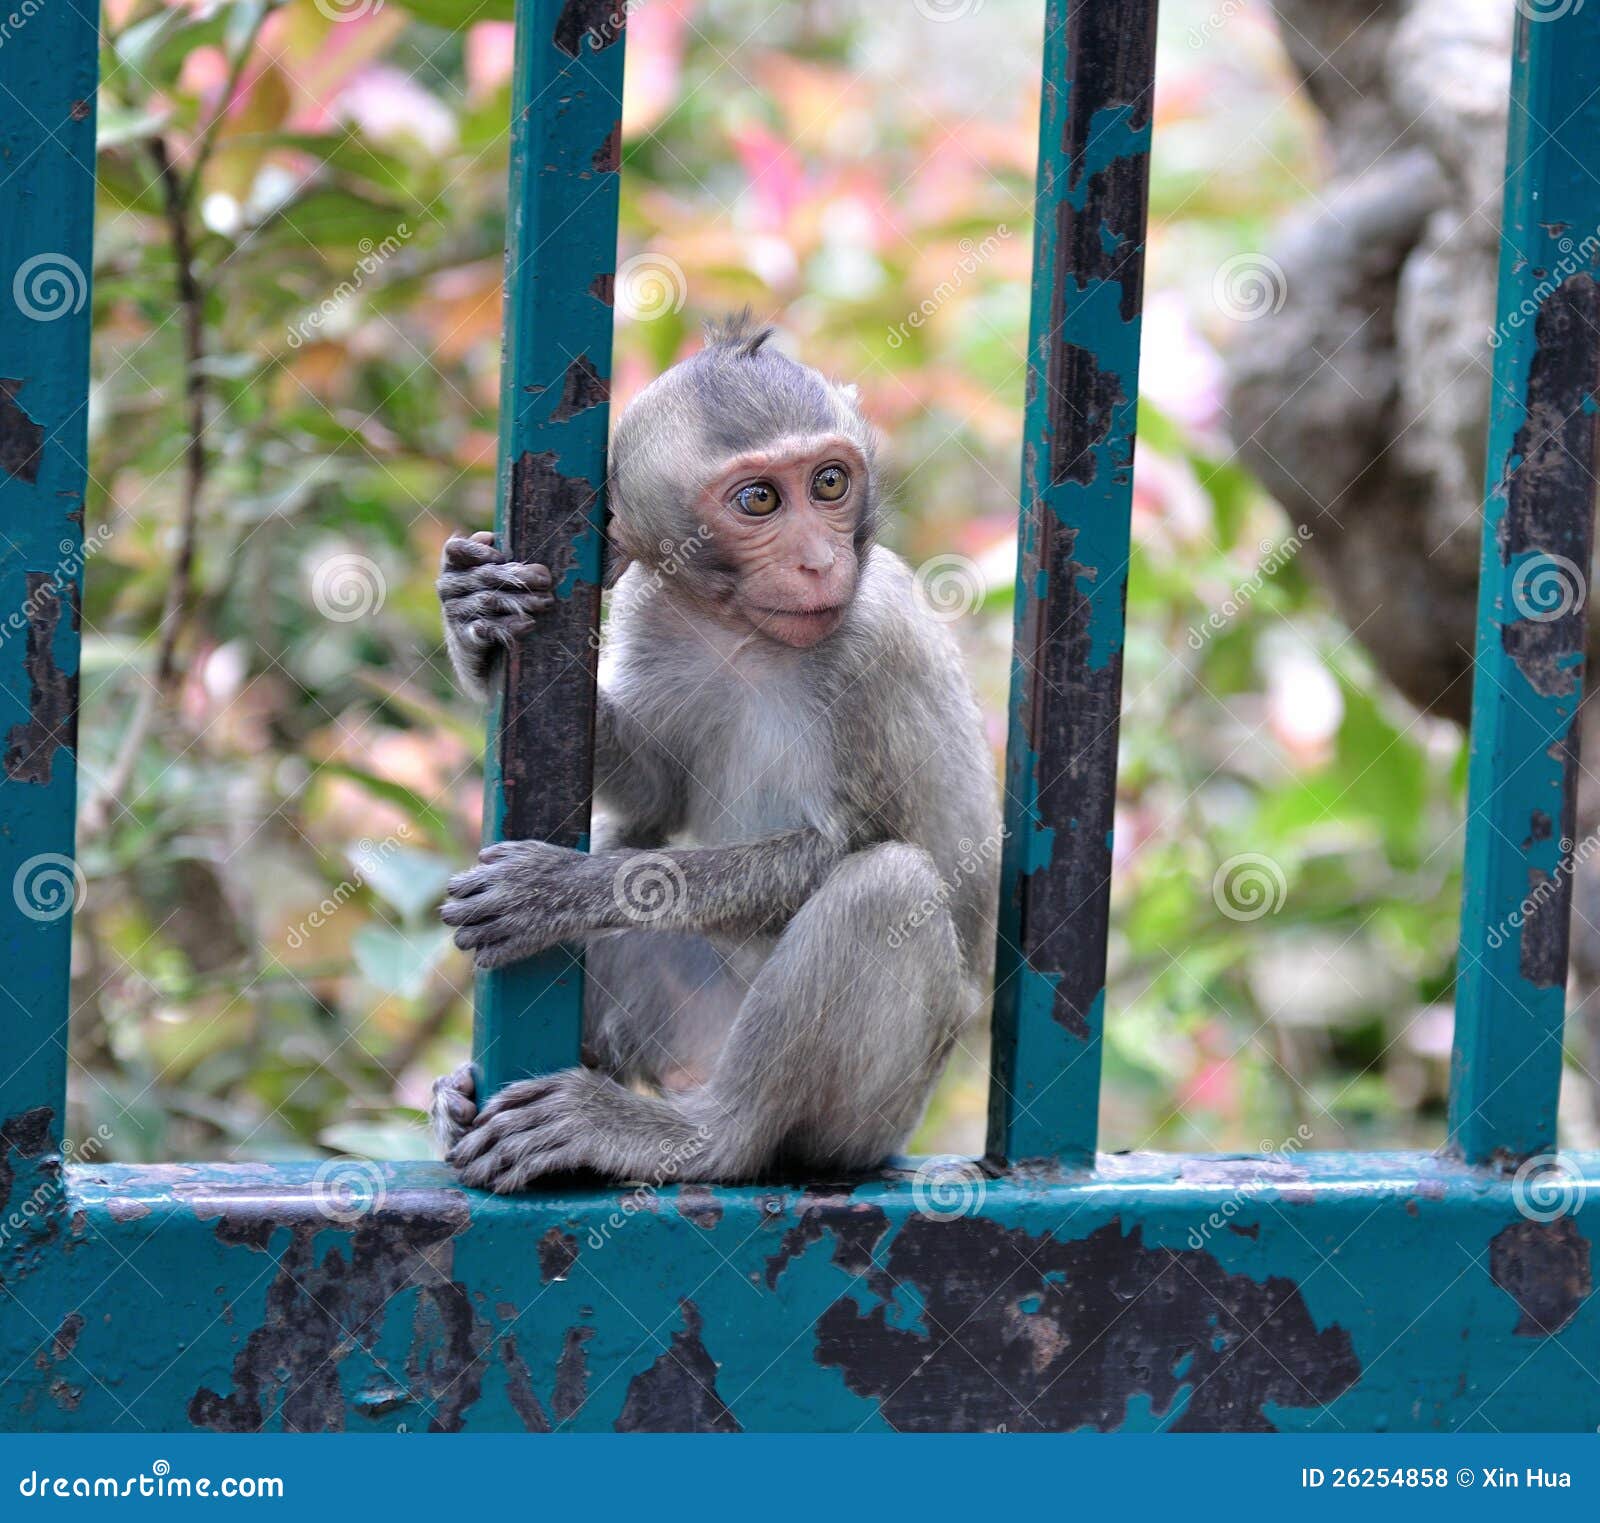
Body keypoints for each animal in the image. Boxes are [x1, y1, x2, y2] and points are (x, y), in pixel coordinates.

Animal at [430, 314, 1000, 1191]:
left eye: (829, 483)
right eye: (760, 498)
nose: (818, 561)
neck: (739, 630)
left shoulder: (875, 646)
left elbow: (856, 843)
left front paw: (560, 888)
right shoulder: (651, 609)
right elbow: (658, 793)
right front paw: (473, 619)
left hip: (870, 1116)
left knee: (887, 885)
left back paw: (704, 1134)